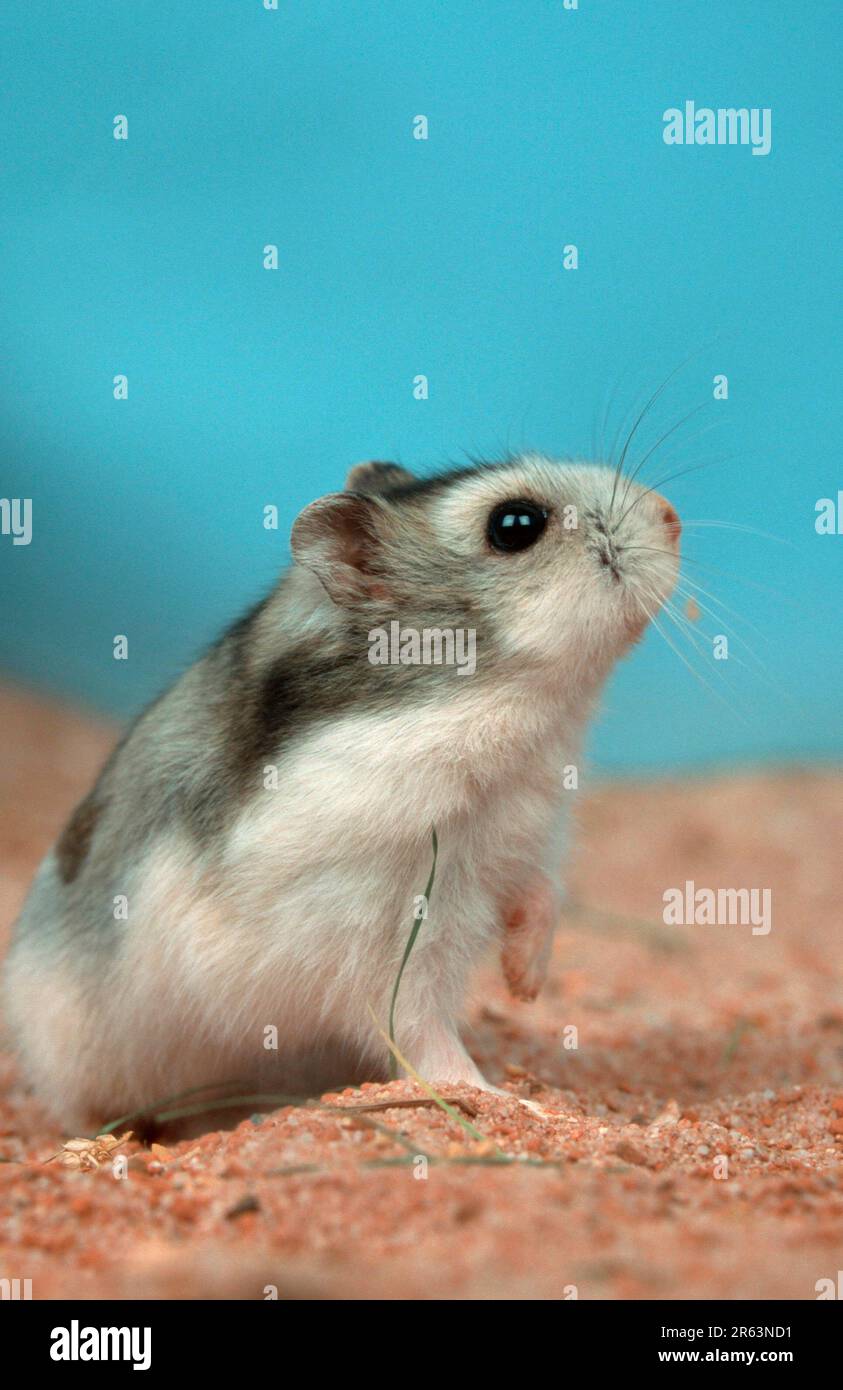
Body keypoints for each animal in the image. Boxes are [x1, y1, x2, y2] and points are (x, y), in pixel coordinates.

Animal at [2, 454, 680, 1131]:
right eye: (515, 525)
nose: (671, 516)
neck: (498, 705)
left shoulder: (526, 844)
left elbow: (543, 898)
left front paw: (525, 985)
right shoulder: (391, 938)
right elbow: (422, 1033)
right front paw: (510, 1101)